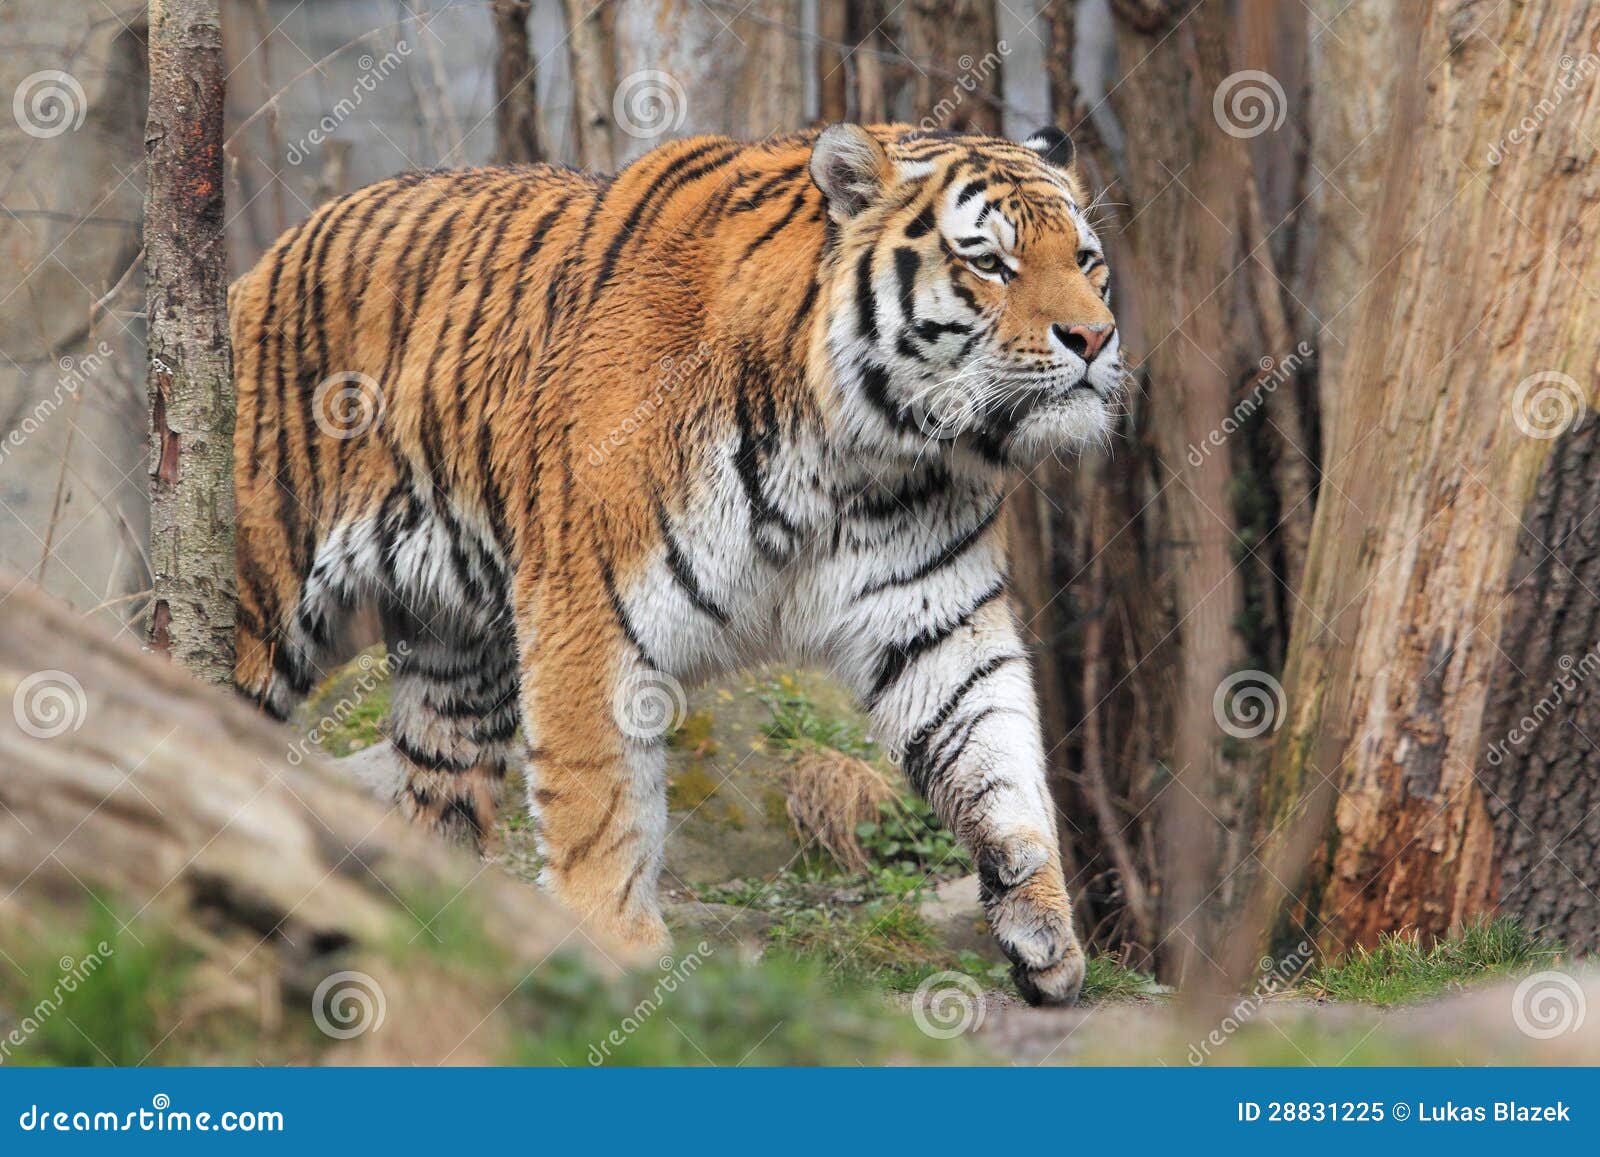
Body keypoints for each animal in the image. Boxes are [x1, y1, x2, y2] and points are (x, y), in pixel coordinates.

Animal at [230, 123, 1124, 1005]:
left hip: (456, 664)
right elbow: (600, 801)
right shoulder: (585, 613)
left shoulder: (936, 617)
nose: (1093, 338)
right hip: (261, 602)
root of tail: (258, 267)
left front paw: (1042, 923)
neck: (863, 453)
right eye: (990, 262)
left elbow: (998, 754)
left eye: (1086, 259)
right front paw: (613, 948)